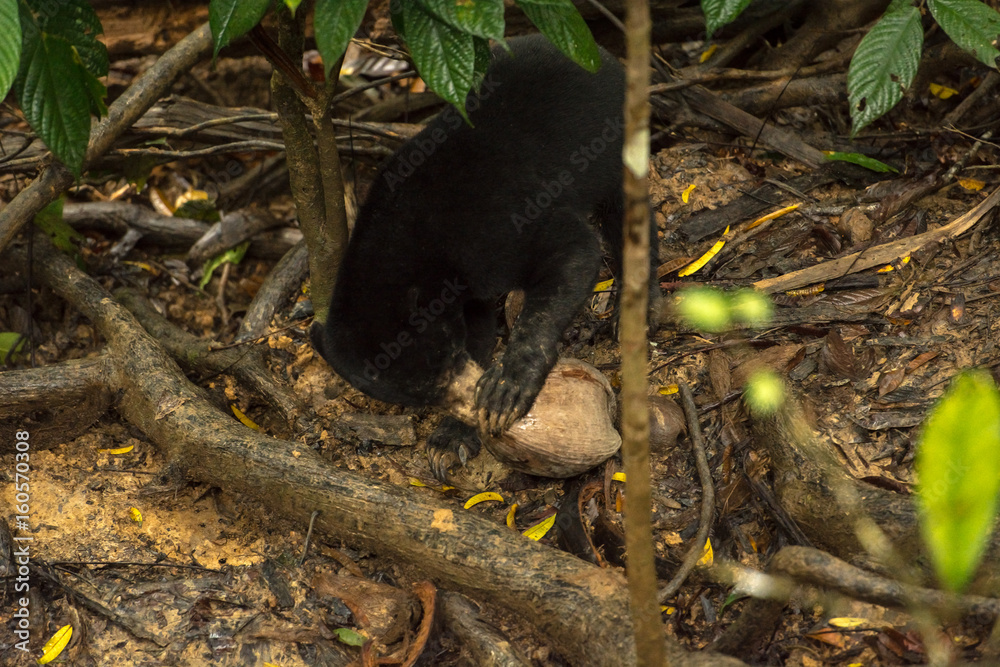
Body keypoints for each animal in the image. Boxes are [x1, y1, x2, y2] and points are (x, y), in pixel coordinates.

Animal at [310, 34, 659, 480]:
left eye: (446, 359)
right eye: (421, 397)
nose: (471, 411)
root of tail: (604, 54)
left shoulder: (496, 230)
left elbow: (573, 250)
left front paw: (505, 389)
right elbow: (478, 323)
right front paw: (450, 439)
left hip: (613, 141)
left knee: (624, 209)